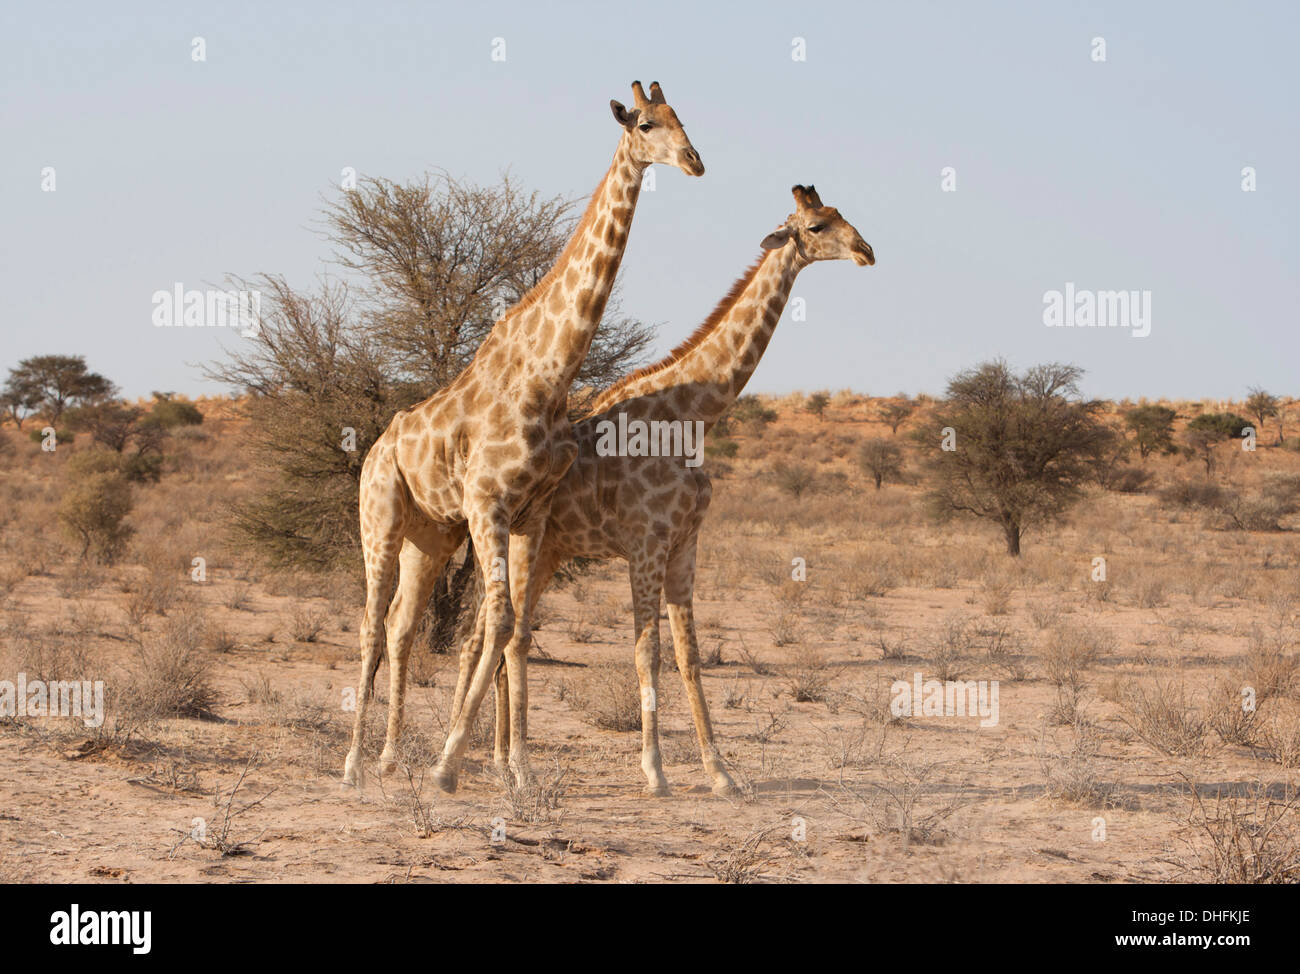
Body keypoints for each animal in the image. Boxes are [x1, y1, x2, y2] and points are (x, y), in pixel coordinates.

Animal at [342, 81, 705, 791]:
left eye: (684, 119)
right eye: (646, 125)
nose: (695, 161)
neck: (549, 373)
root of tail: (374, 447)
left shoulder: (529, 512)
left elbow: (512, 630)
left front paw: (514, 772)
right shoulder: (488, 502)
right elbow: (502, 621)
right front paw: (452, 769)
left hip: (430, 535)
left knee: (400, 626)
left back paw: (390, 755)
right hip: (381, 514)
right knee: (370, 624)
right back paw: (352, 764)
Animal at [453, 185, 874, 795]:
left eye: (841, 213)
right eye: (817, 226)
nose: (867, 250)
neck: (692, 417)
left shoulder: (685, 545)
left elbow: (689, 656)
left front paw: (721, 773)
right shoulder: (646, 545)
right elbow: (646, 653)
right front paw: (654, 772)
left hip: (546, 551)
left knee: (494, 637)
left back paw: (497, 761)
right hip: (513, 543)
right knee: (490, 637)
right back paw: (485, 761)